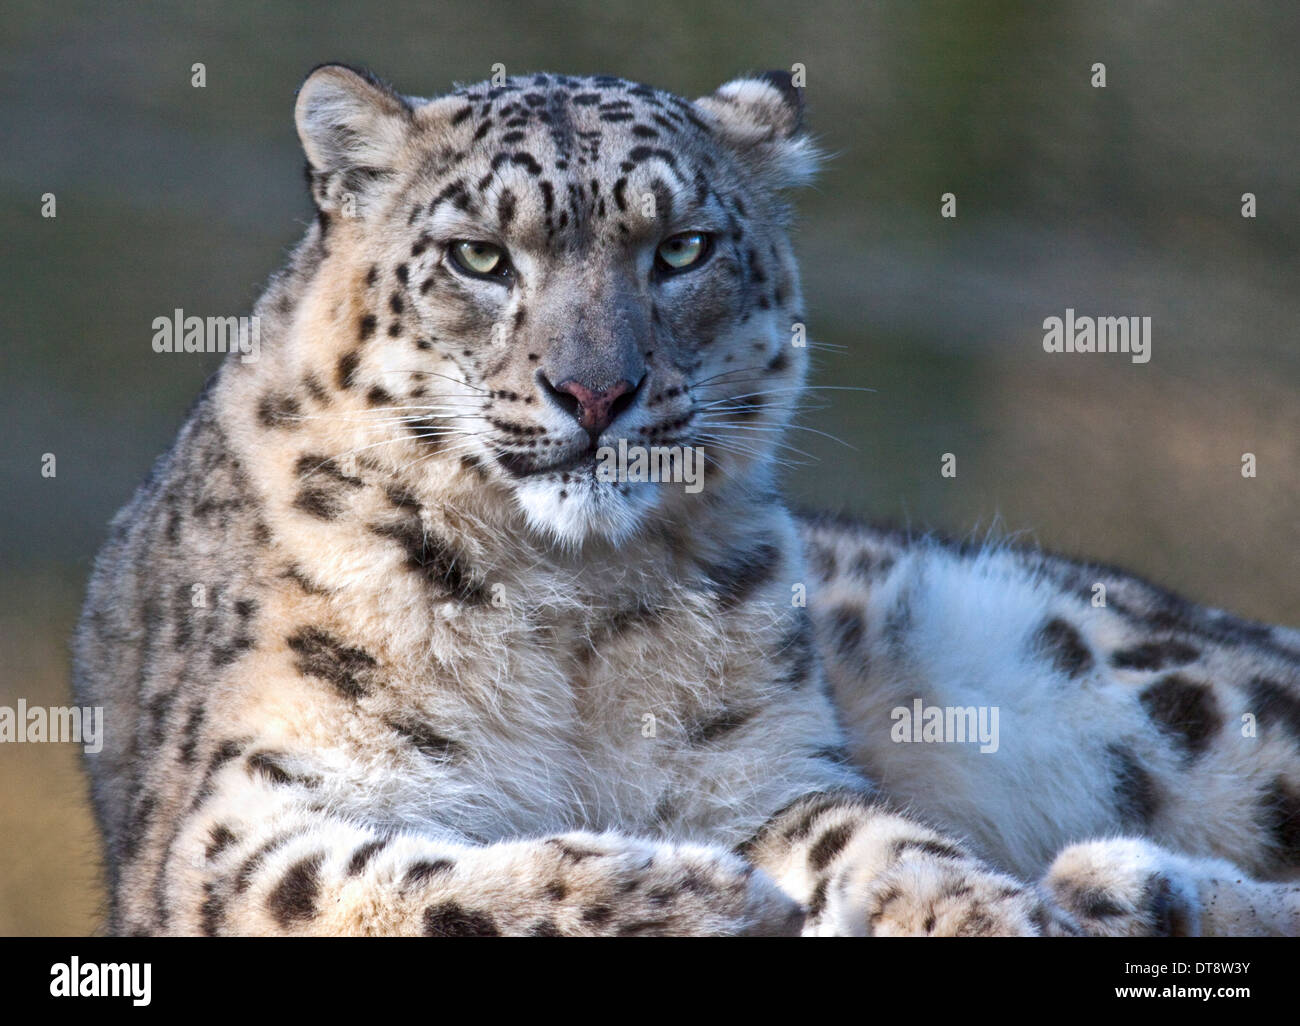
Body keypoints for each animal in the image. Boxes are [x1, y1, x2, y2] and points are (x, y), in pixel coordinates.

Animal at [73, 64, 1300, 936]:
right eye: (479, 257)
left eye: (682, 249)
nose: (595, 391)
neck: (565, 608)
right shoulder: (249, 811)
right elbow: (397, 890)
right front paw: (689, 895)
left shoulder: (765, 773)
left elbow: (878, 840)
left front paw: (979, 911)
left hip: (1165, 698)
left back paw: (1125, 883)